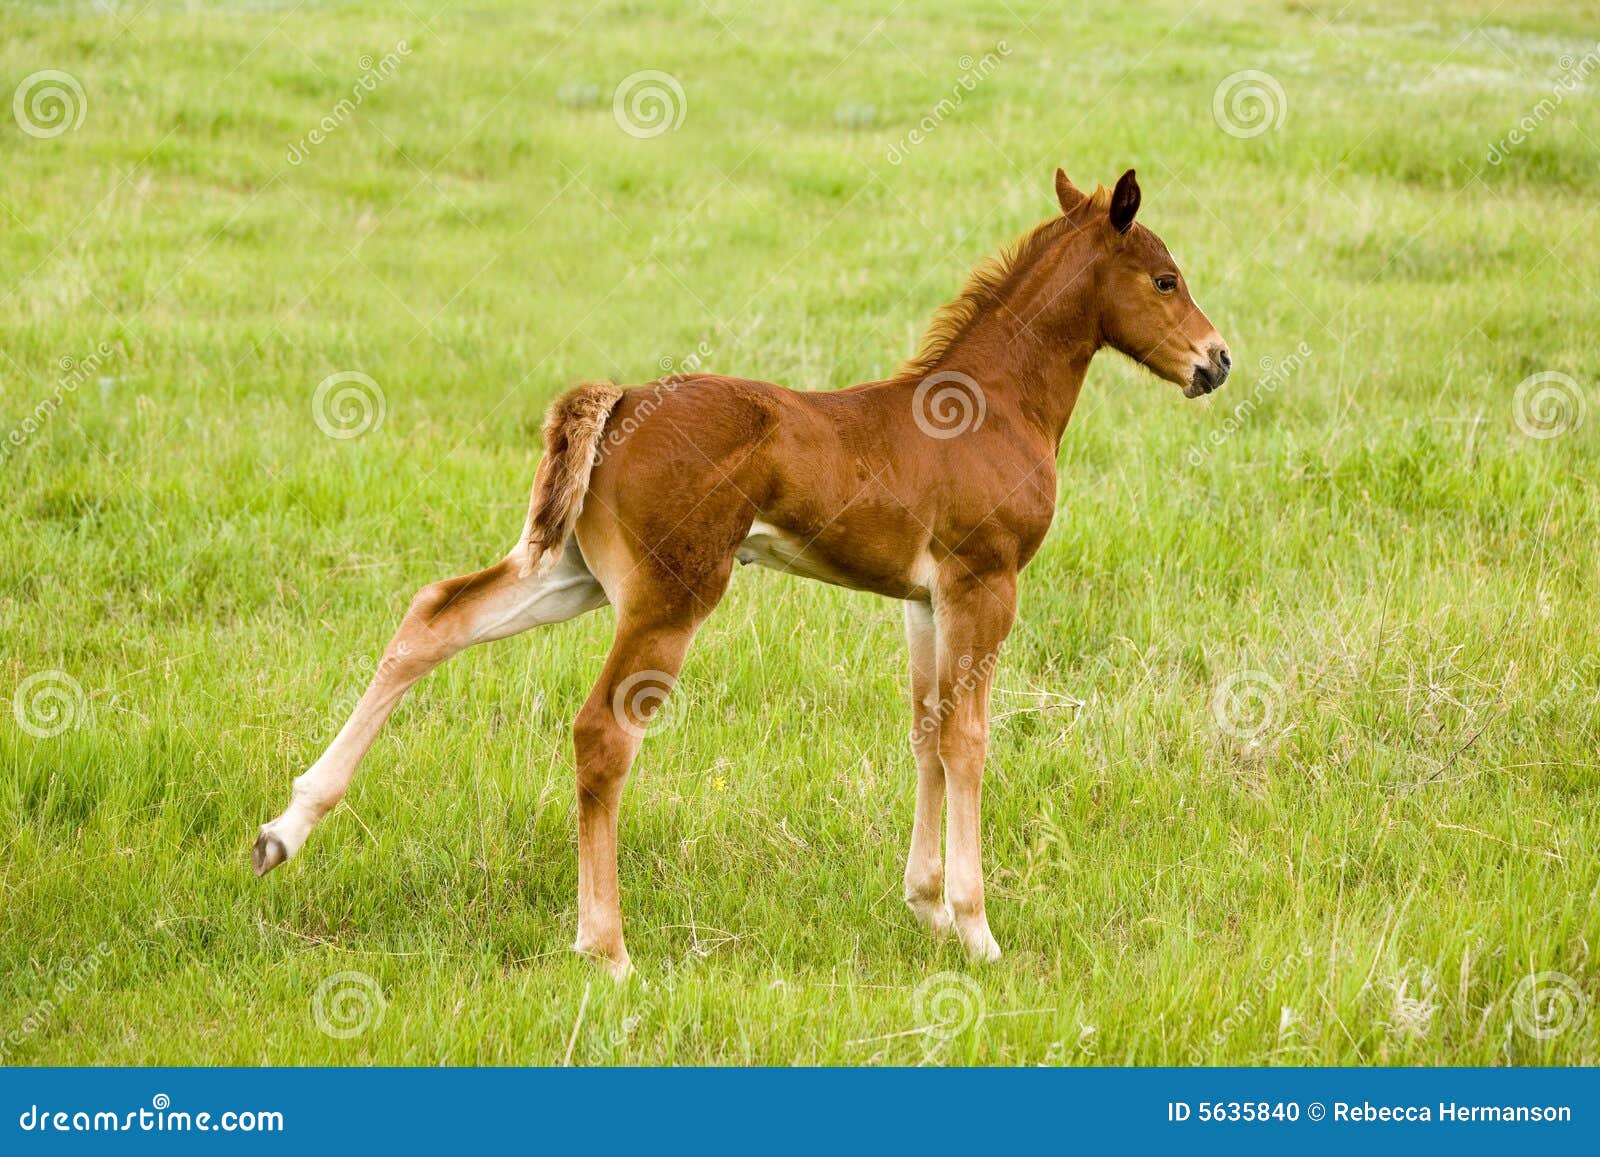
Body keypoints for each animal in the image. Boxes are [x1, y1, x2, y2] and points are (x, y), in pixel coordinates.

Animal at [253, 166, 1231, 978]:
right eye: (1165, 279)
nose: (1216, 361)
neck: (993, 405)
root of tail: (621, 404)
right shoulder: (984, 582)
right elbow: (969, 739)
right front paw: (976, 926)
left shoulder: (923, 599)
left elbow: (925, 729)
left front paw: (923, 906)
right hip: (673, 595)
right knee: (600, 733)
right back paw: (607, 949)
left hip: (571, 574)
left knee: (434, 617)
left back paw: (284, 829)